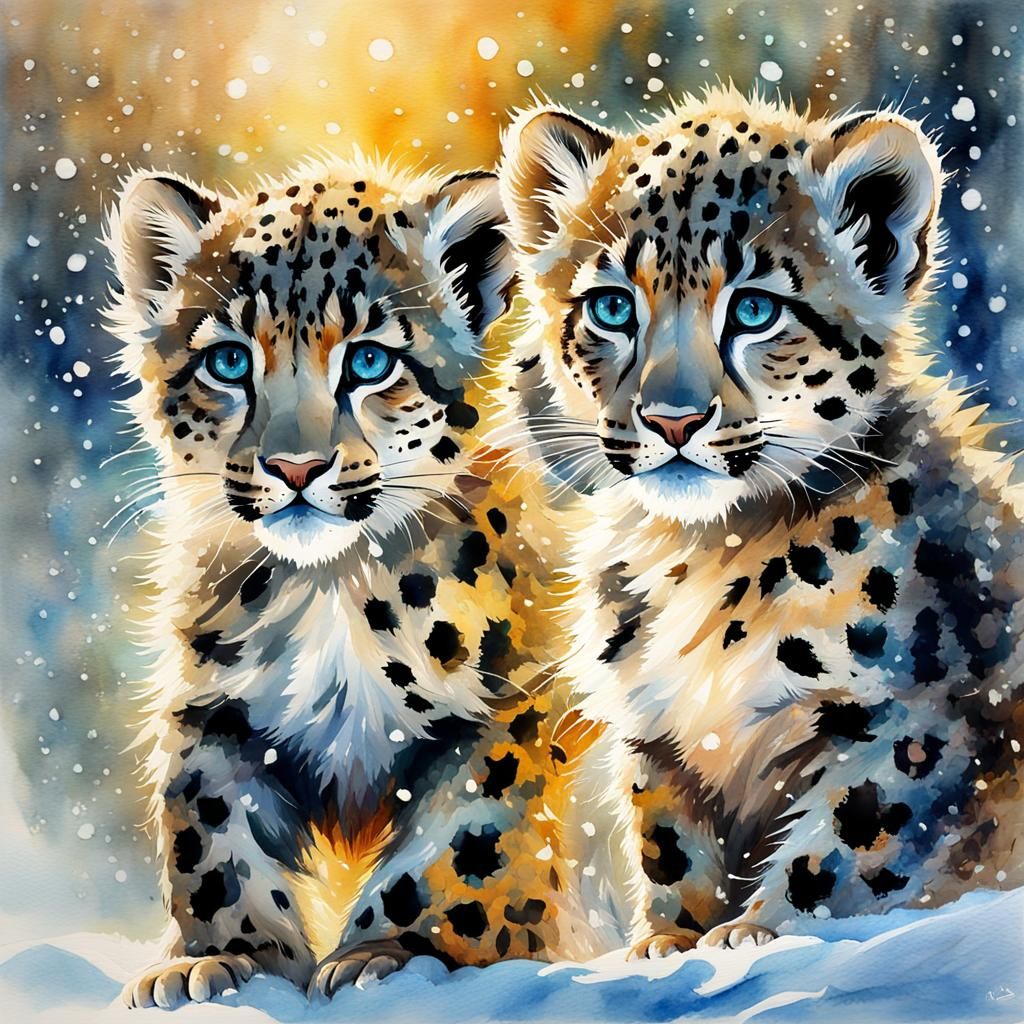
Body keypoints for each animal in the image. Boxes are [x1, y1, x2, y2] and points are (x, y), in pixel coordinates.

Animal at [102, 154, 622, 1009]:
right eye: (229, 360)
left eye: (371, 361)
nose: (295, 467)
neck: (329, 591)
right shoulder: (212, 709)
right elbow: (212, 841)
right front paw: (223, 960)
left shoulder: (503, 708)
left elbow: (463, 847)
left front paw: (389, 953)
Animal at [496, 86, 1024, 957]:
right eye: (611, 305)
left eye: (752, 308)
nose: (671, 420)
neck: (698, 553)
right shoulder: (657, 734)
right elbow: (668, 845)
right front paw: (666, 944)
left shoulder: (901, 717)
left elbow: (846, 840)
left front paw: (755, 934)